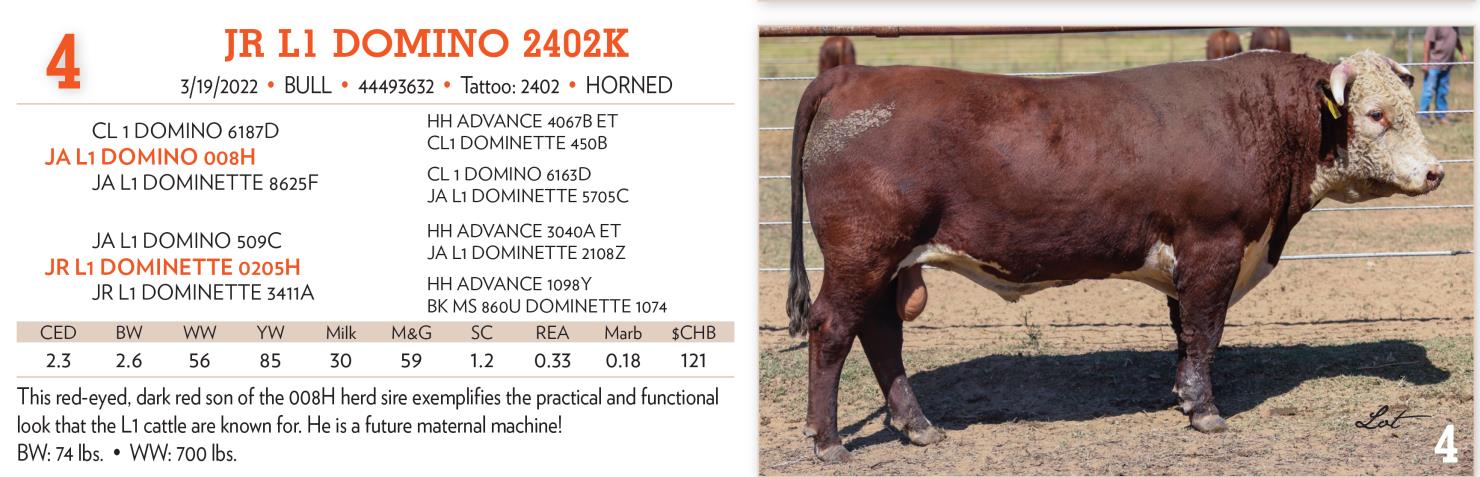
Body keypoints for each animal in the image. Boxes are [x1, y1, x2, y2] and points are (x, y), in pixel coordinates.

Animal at [784, 50, 1438, 463]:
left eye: (1408, 109)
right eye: (1376, 114)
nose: (1435, 172)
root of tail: (852, 75)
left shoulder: (1189, 261)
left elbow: (1185, 334)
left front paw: (1183, 396)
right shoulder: (1214, 247)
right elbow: (1205, 331)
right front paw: (1206, 412)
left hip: (885, 264)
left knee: (880, 333)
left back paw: (918, 427)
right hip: (862, 254)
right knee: (833, 329)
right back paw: (828, 441)